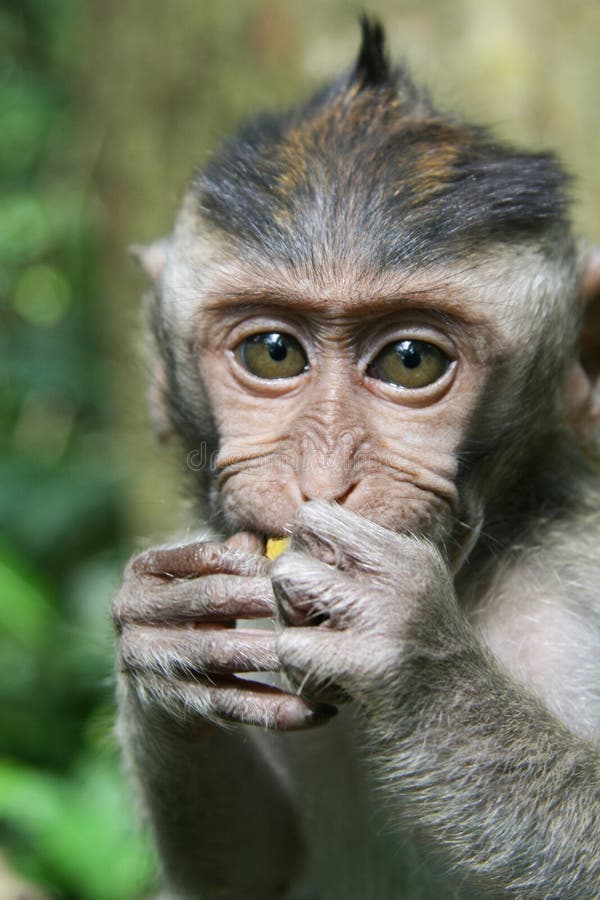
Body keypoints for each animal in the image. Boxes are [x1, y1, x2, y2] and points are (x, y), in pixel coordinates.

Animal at [113, 17, 600, 900]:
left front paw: (419, 665)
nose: (323, 481)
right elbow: (246, 868)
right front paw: (163, 635)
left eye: (410, 361)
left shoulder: (579, 586)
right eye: (273, 352)